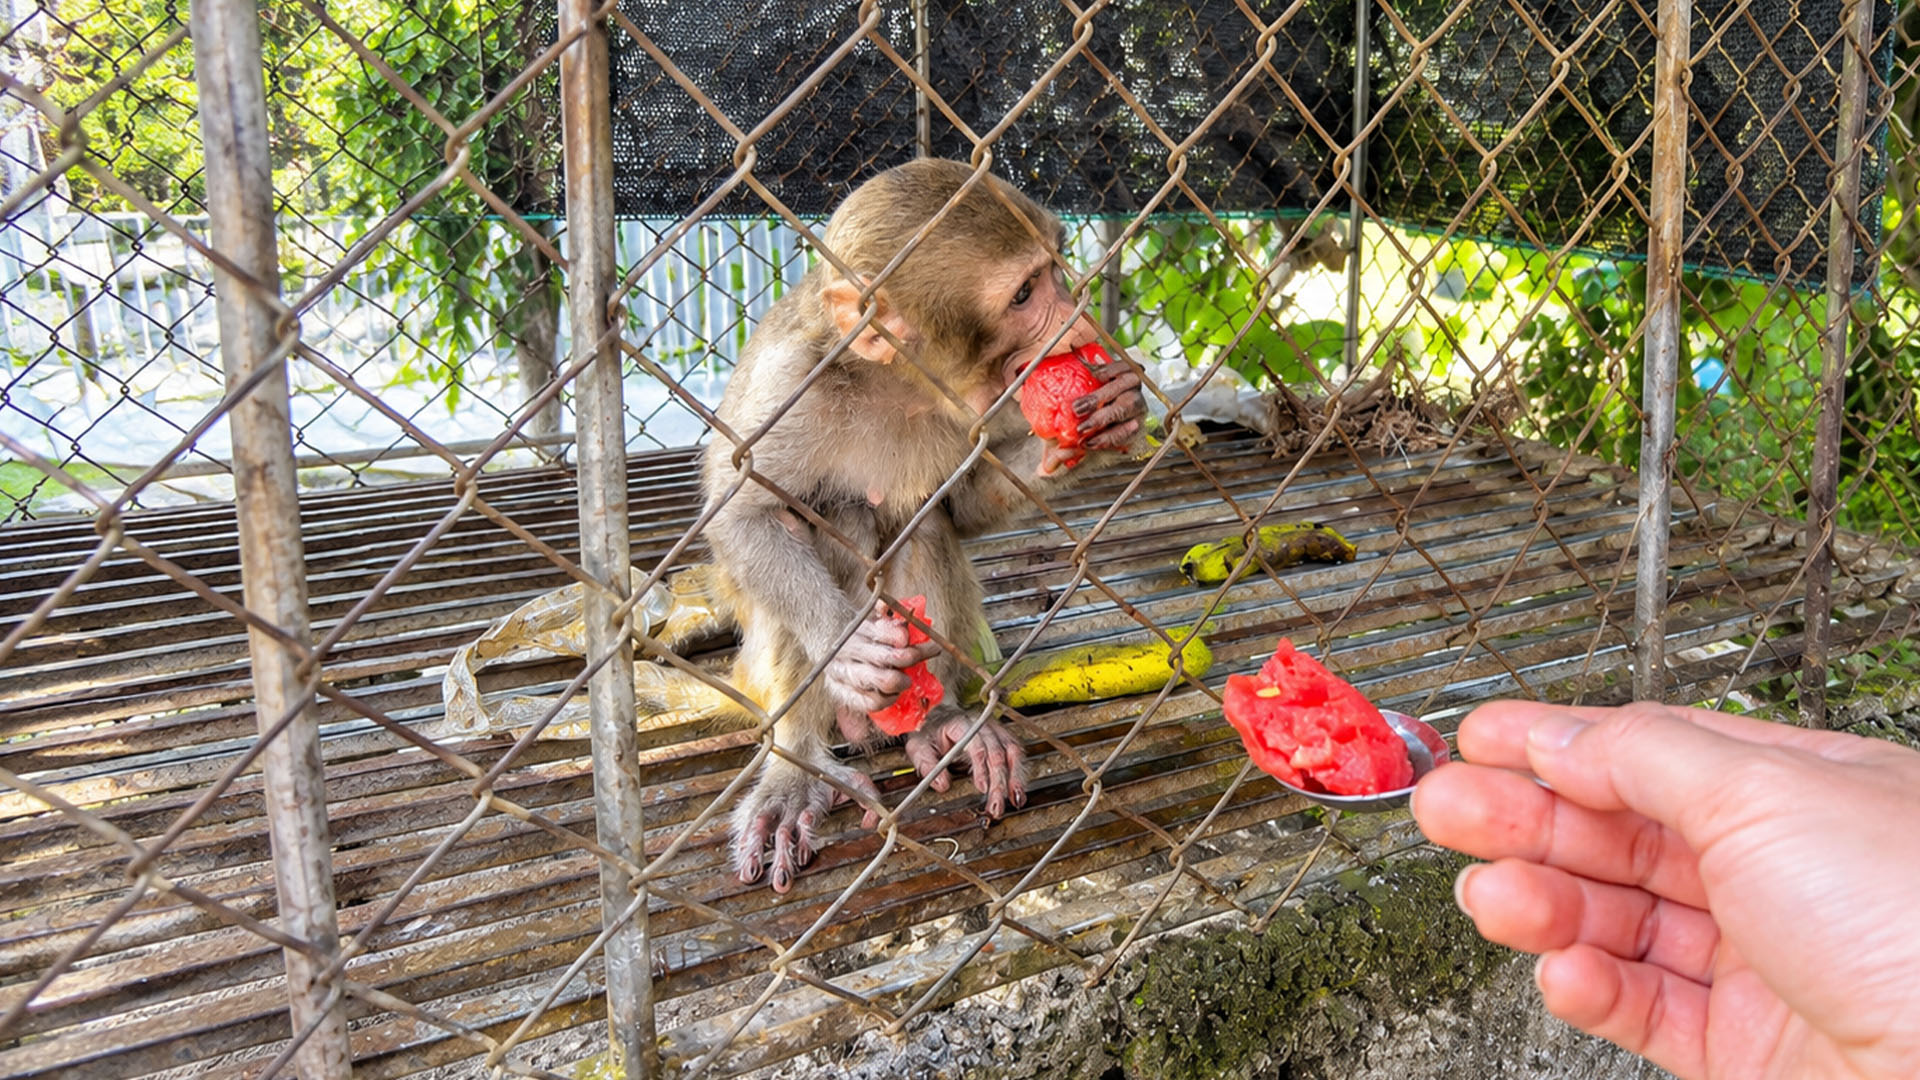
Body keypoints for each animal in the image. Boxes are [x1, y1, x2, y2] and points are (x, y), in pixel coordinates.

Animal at [698, 158, 1146, 894]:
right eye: (1025, 293)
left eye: (1056, 263)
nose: (1075, 312)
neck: (900, 384)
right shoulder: (792, 383)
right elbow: (742, 518)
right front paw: (844, 644)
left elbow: (959, 505)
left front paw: (1110, 414)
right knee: (829, 515)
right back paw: (799, 764)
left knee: (923, 522)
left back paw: (938, 722)